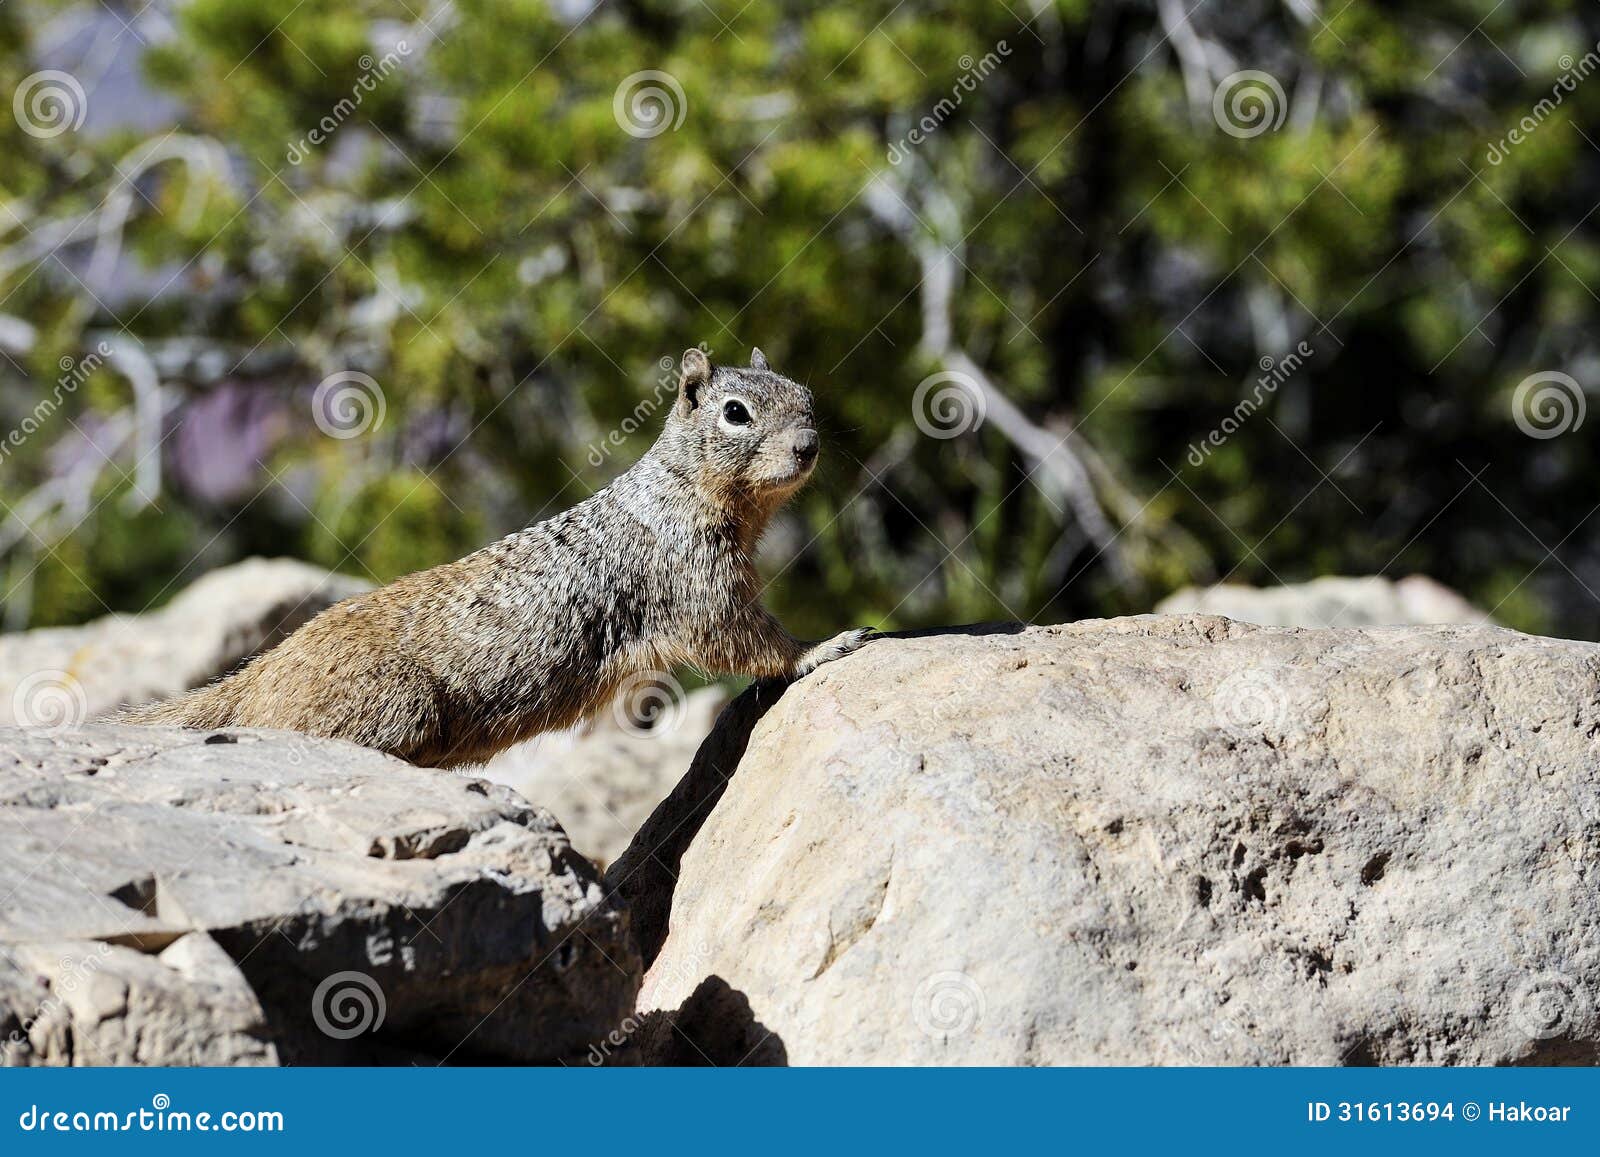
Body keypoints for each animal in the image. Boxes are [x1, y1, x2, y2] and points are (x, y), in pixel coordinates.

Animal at [113, 347, 875, 767]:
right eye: (736, 412)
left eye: (806, 397)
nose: (809, 445)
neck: (682, 487)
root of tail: (252, 677)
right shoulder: (697, 581)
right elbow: (745, 639)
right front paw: (826, 645)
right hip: (395, 704)